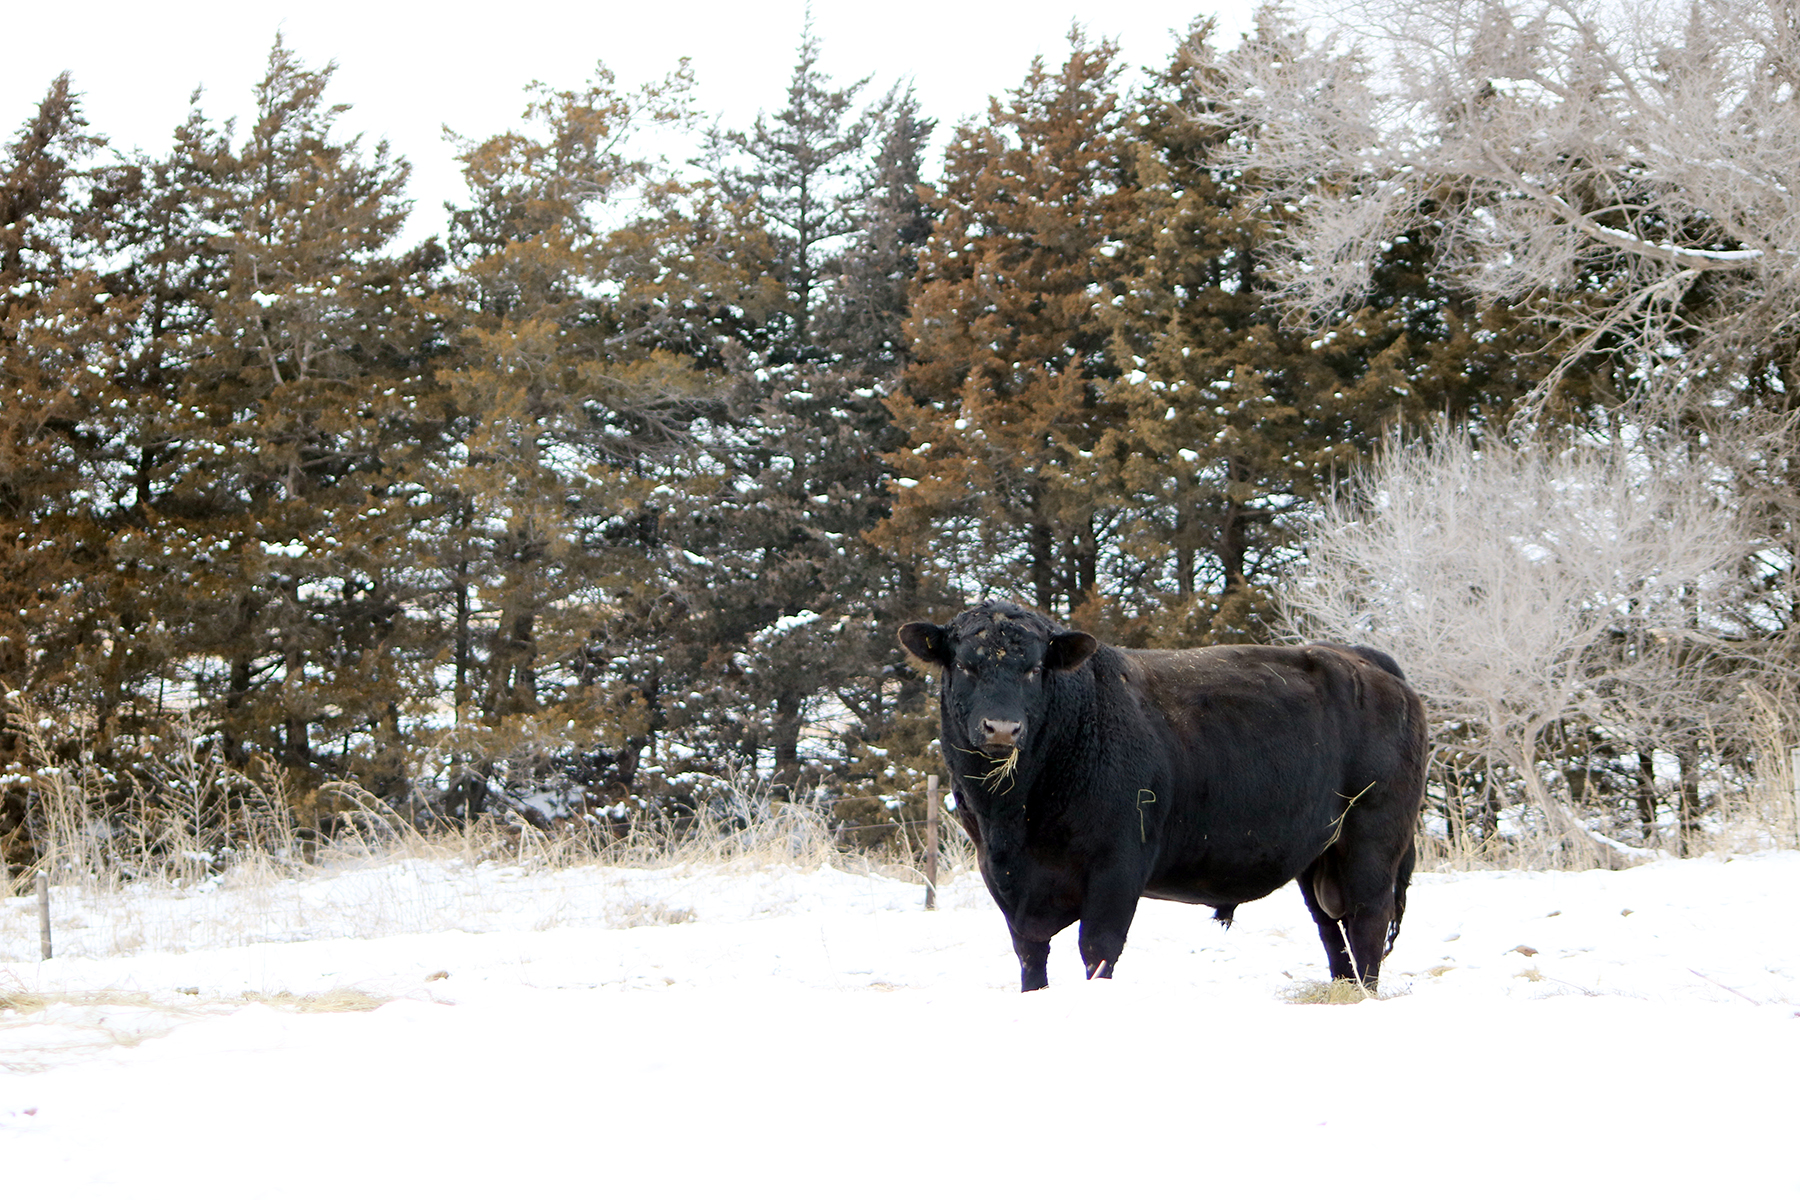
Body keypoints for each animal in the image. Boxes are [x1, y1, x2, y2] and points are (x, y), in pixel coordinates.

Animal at [899, 599, 1427, 992]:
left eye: (1034, 669)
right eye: (965, 665)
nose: (1003, 728)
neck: (1013, 817)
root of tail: (1360, 657)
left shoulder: (1117, 865)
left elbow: (1098, 950)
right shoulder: (1003, 878)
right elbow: (1030, 955)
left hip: (1372, 838)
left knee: (1367, 919)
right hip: (1319, 854)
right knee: (1331, 929)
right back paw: (1345, 991)